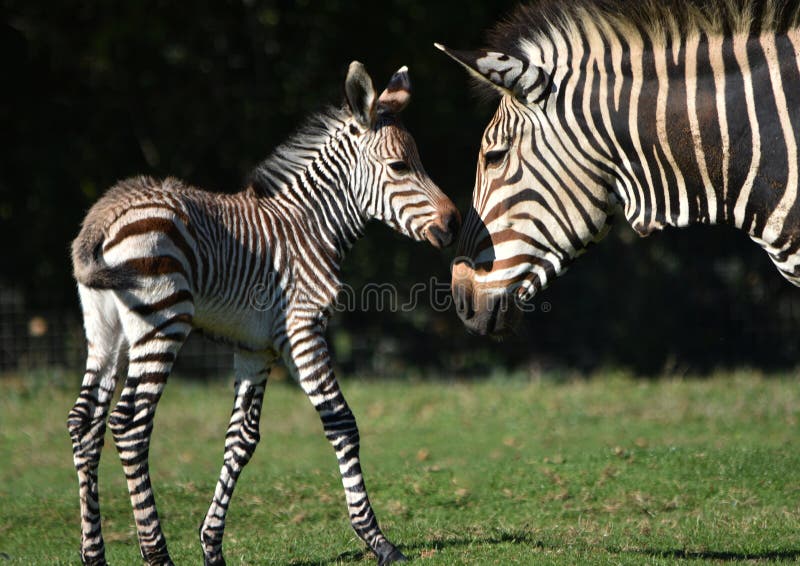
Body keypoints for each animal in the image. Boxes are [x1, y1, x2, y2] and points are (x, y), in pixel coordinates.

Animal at [68, 61, 459, 566]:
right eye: (399, 167)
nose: (453, 223)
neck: (310, 225)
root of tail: (104, 213)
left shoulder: (256, 348)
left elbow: (242, 440)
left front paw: (212, 545)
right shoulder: (303, 328)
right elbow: (340, 421)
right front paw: (378, 540)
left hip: (106, 332)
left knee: (85, 423)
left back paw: (93, 552)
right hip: (162, 322)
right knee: (130, 424)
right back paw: (156, 553)